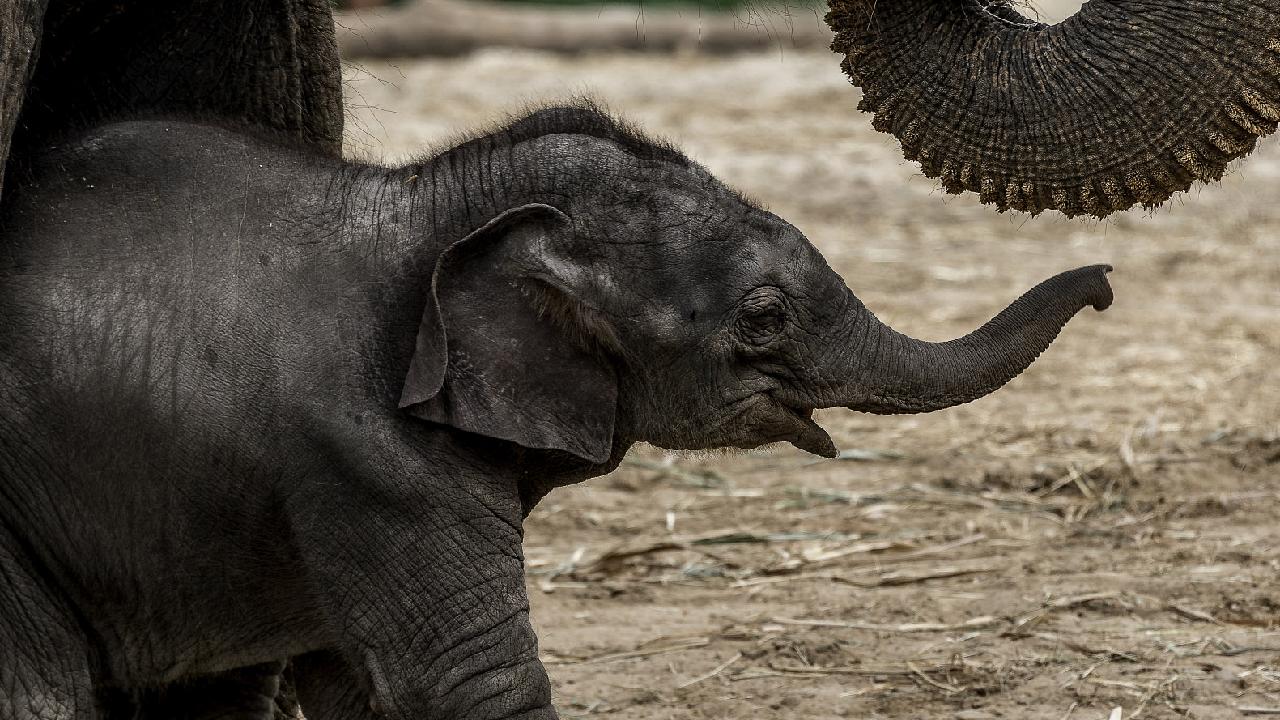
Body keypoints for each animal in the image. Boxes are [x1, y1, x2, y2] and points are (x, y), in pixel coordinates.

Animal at [0, 101, 1112, 718]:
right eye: (761, 317)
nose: (1103, 282)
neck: (420, 205)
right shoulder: (370, 464)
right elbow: (467, 684)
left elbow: (360, 687)